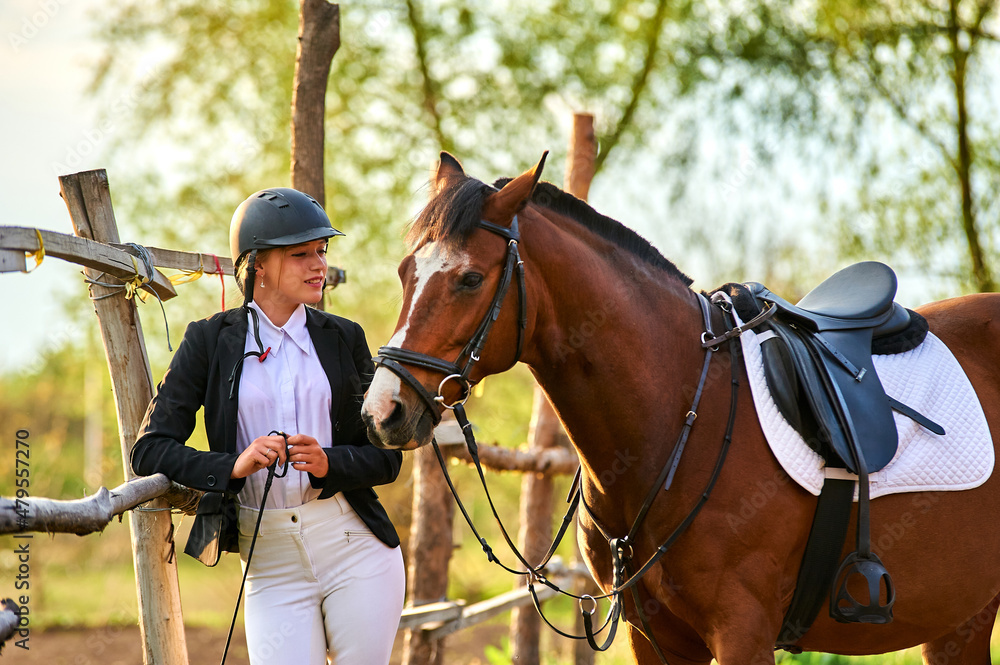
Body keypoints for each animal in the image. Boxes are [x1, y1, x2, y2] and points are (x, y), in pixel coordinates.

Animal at [360, 152, 1000, 664]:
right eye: (406, 272)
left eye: (470, 279)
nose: (381, 412)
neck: (678, 423)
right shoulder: (654, 636)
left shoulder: (743, 633)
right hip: (961, 618)